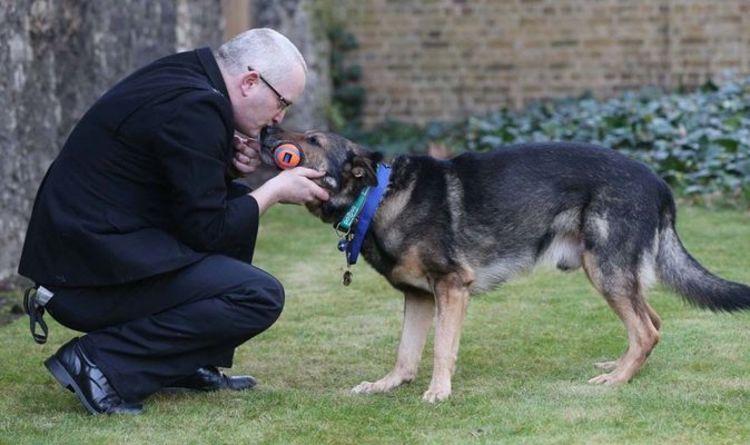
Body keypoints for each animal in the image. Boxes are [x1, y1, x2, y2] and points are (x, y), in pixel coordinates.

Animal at [260, 125, 750, 402]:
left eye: (313, 141)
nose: (265, 132)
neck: (378, 196)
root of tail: (660, 184)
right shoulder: (418, 297)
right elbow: (405, 353)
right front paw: (387, 385)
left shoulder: (451, 288)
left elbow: (441, 348)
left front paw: (438, 392)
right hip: (614, 274)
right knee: (652, 323)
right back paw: (621, 368)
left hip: (605, 270)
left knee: (646, 329)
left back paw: (617, 381)